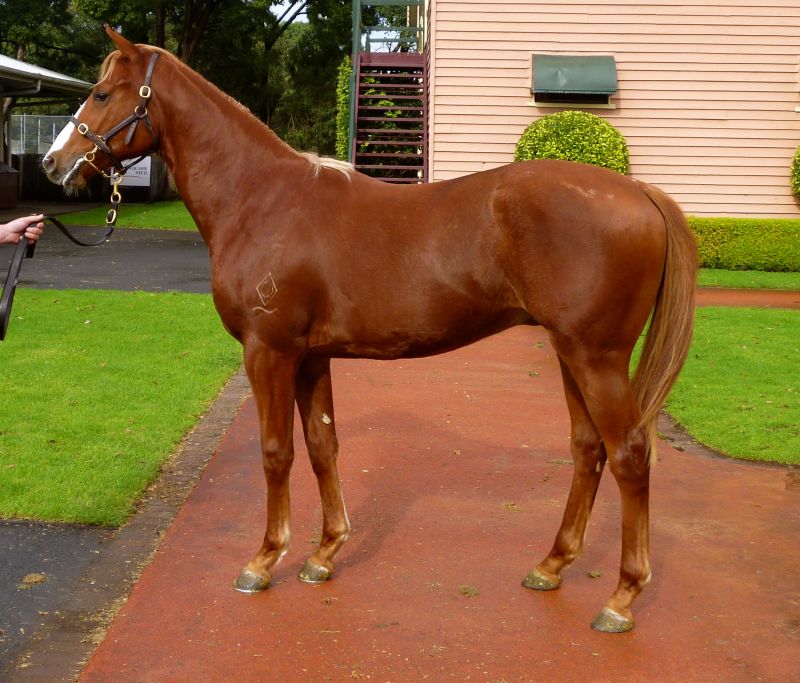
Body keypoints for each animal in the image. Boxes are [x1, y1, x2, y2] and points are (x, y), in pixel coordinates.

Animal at [42, 26, 697, 633]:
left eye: (101, 93)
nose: (53, 163)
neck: (261, 200)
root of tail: (639, 190)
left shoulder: (268, 352)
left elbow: (276, 452)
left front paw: (264, 560)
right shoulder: (310, 357)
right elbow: (322, 446)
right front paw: (324, 554)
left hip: (597, 357)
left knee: (629, 455)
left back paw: (621, 598)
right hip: (570, 353)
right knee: (589, 449)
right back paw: (551, 566)